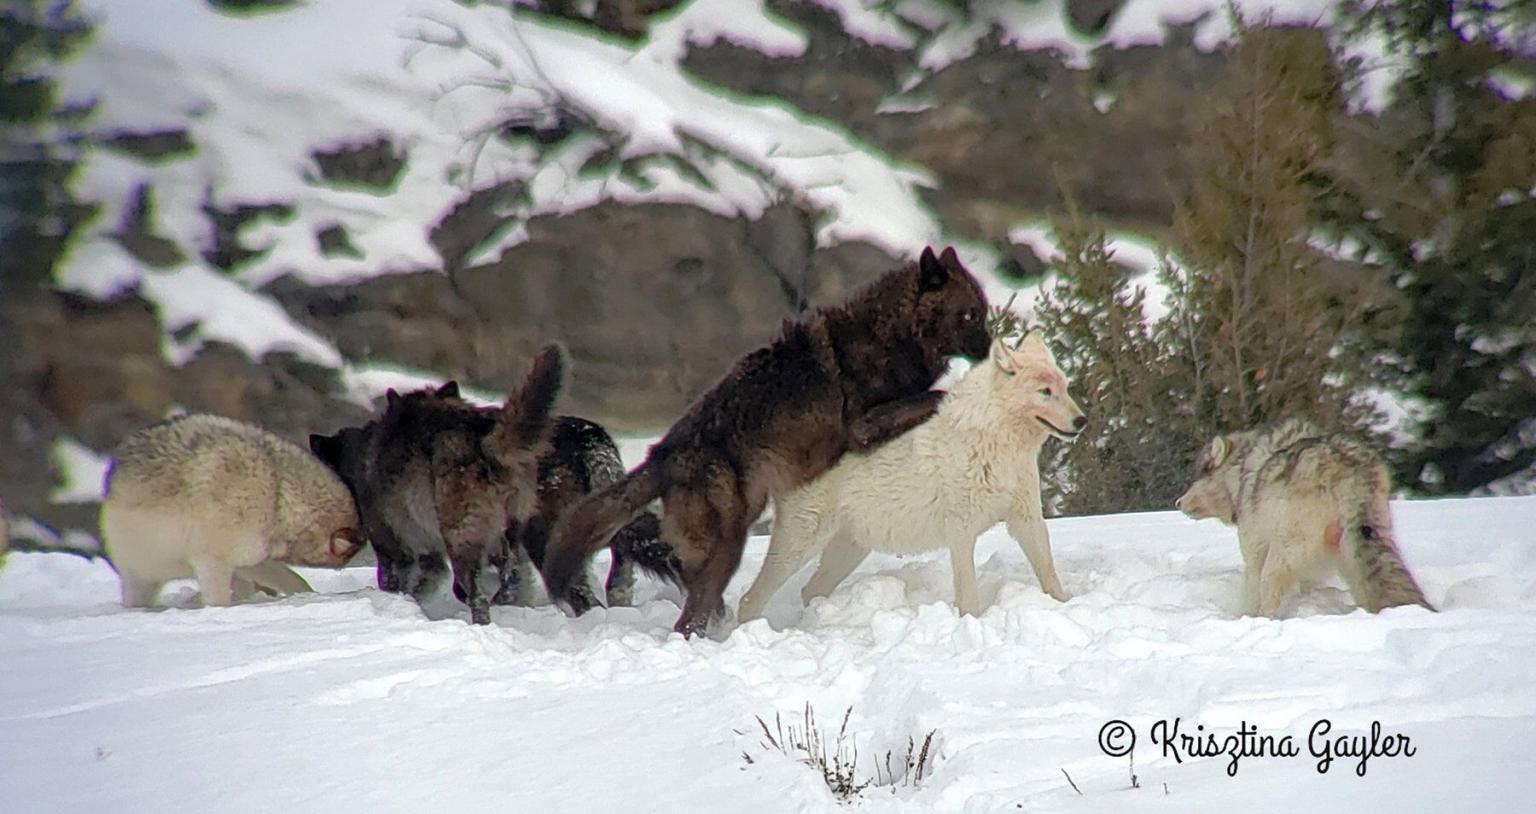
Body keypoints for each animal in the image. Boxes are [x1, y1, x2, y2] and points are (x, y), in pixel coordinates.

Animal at [100, 415, 363, 609]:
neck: (278, 495)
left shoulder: (251, 557)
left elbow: (295, 580)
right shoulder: (212, 561)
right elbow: (219, 600)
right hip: (141, 572)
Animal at [308, 346, 563, 625]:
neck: (361, 457)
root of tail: (483, 439)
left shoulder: (393, 547)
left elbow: (395, 583)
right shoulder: (429, 553)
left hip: (460, 543)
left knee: (478, 596)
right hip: (508, 534)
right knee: (512, 576)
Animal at [541, 246, 993, 636]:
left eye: (984, 314)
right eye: (970, 315)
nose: (992, 352)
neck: (892, 338)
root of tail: (659, 457)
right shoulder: (864, 428)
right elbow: (935, 395)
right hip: (728, 547)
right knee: (689, 621)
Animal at [738, 332, 1085, 622]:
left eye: (1065, 388)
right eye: (1045, 392)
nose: (1082, 421)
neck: (997, 444)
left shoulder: (1028, 520)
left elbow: (1049, 575)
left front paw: (1064, 607)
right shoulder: (961, 531)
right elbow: (968, 596)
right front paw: (970, 623)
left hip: (848, 552)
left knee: (809, 591)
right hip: (800, 548)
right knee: (749, 600)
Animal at [1176, 417, 1434, 617]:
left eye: (1194, 478)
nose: (1178, 503)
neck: (1239, 471)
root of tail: (1348, 467)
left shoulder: (1255, 552)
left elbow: (1251, 593)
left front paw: (1245, 618)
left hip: (1283, 553)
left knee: (1270, 595)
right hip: (1357, 551)